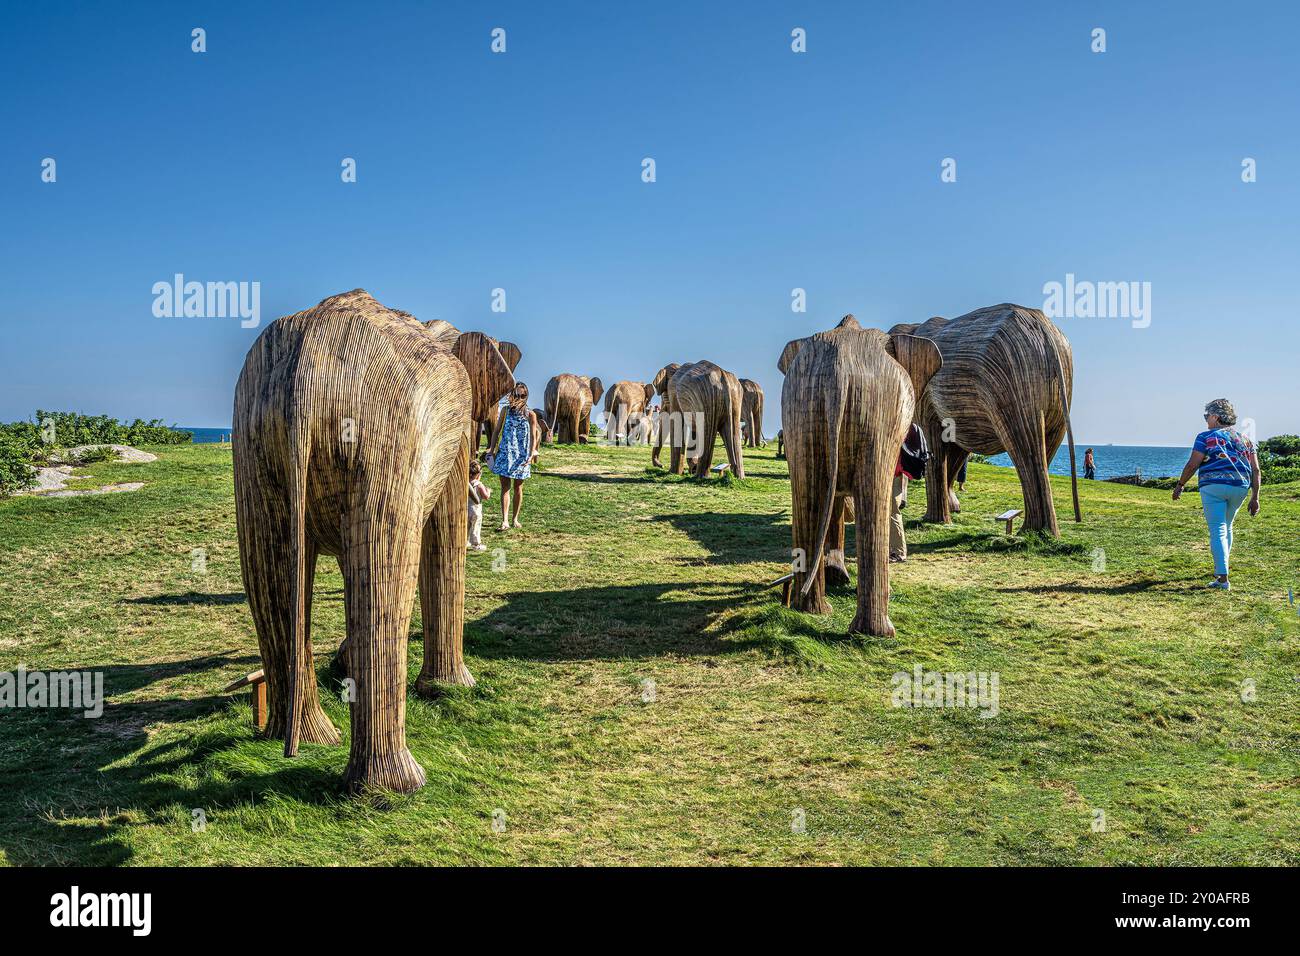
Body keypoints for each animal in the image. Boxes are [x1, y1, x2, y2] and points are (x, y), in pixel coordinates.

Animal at [233, 290, 514, 794]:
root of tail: (307, 367)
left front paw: (342, 666)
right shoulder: (452, 432)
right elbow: (443, 528)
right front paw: (451, 689)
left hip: (254, 436)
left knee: (269, 569)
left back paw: (307, 737)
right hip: (384, 438)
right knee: (386, 571)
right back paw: (395, 787)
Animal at [779, 314, 943, 636]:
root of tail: (838, 369)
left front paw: (835, 576)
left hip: (800, 411)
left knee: (806, 491)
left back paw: (811, 610)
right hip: (877, 416)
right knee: (875, 494)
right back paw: (878, 632)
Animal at [887, 303, 1079, 535]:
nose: (902, 505)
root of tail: (1044, 328)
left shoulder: (927, 397)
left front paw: (934, 520)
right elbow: (956, 449)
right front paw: (954, 510)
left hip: (1013, 380)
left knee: (1025, 444)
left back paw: (1029, 532)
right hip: (1058, 387)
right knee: (1045, 448)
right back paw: (1039, 531)